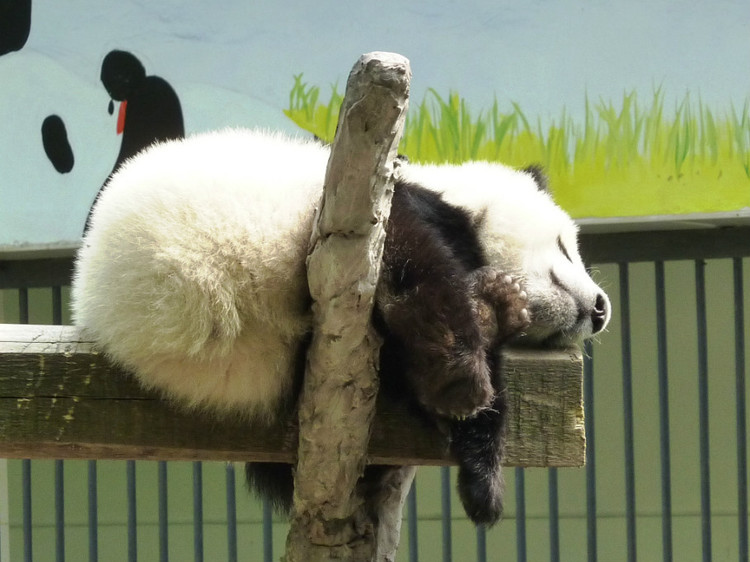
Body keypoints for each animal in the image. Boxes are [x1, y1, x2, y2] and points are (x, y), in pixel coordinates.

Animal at [72, 128, 611, 526]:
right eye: (565, 247)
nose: (601, 309)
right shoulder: (408, 201)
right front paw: (485, 482)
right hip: (304, 224)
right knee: (410, 267)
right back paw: (465, 358)